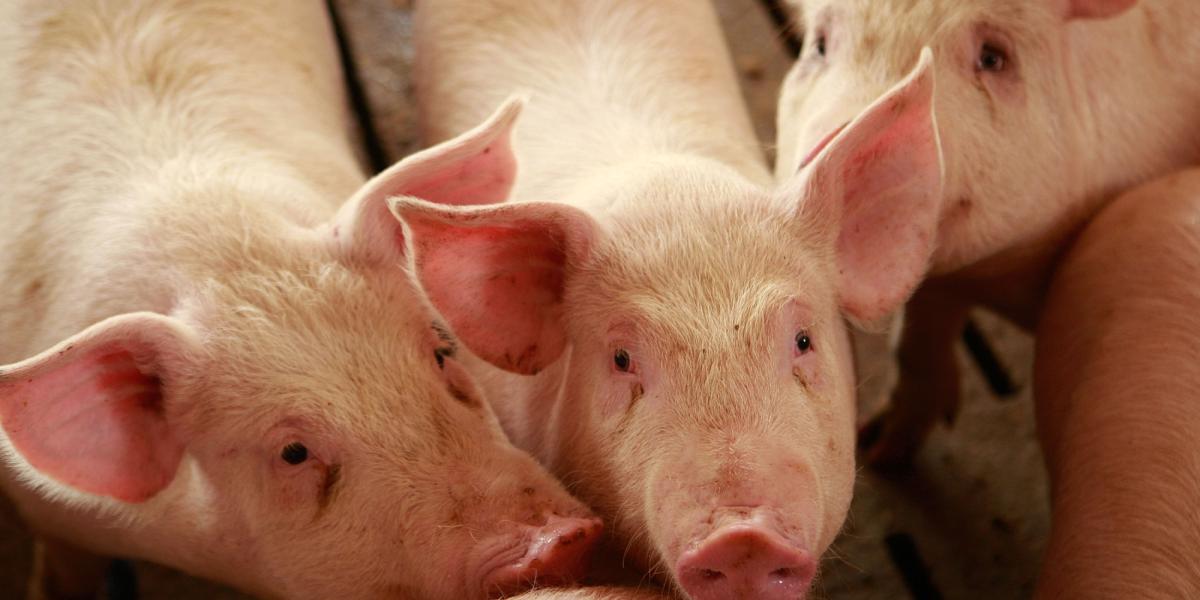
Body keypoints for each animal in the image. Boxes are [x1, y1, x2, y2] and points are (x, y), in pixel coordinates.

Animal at [774, 0, 1200, 464]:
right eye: (819, 45)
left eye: (993, 58)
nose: (841, 142)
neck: (1004, 276)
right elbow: (914, 346)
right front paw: (880, 450)